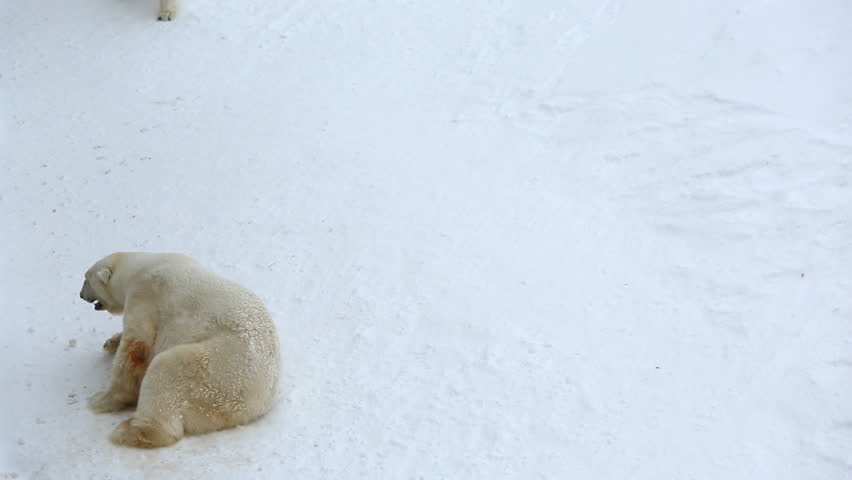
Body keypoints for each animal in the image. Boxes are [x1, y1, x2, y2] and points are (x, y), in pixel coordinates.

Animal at [79, 252, 281, 448]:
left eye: (85, 279)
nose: (81, 295)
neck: (140, 265)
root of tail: (257, 402)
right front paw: (111, 342)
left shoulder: (144, 294)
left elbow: (136, 347)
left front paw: (101, 400)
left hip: (219, 369)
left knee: (166, 369)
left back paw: (129, 432)